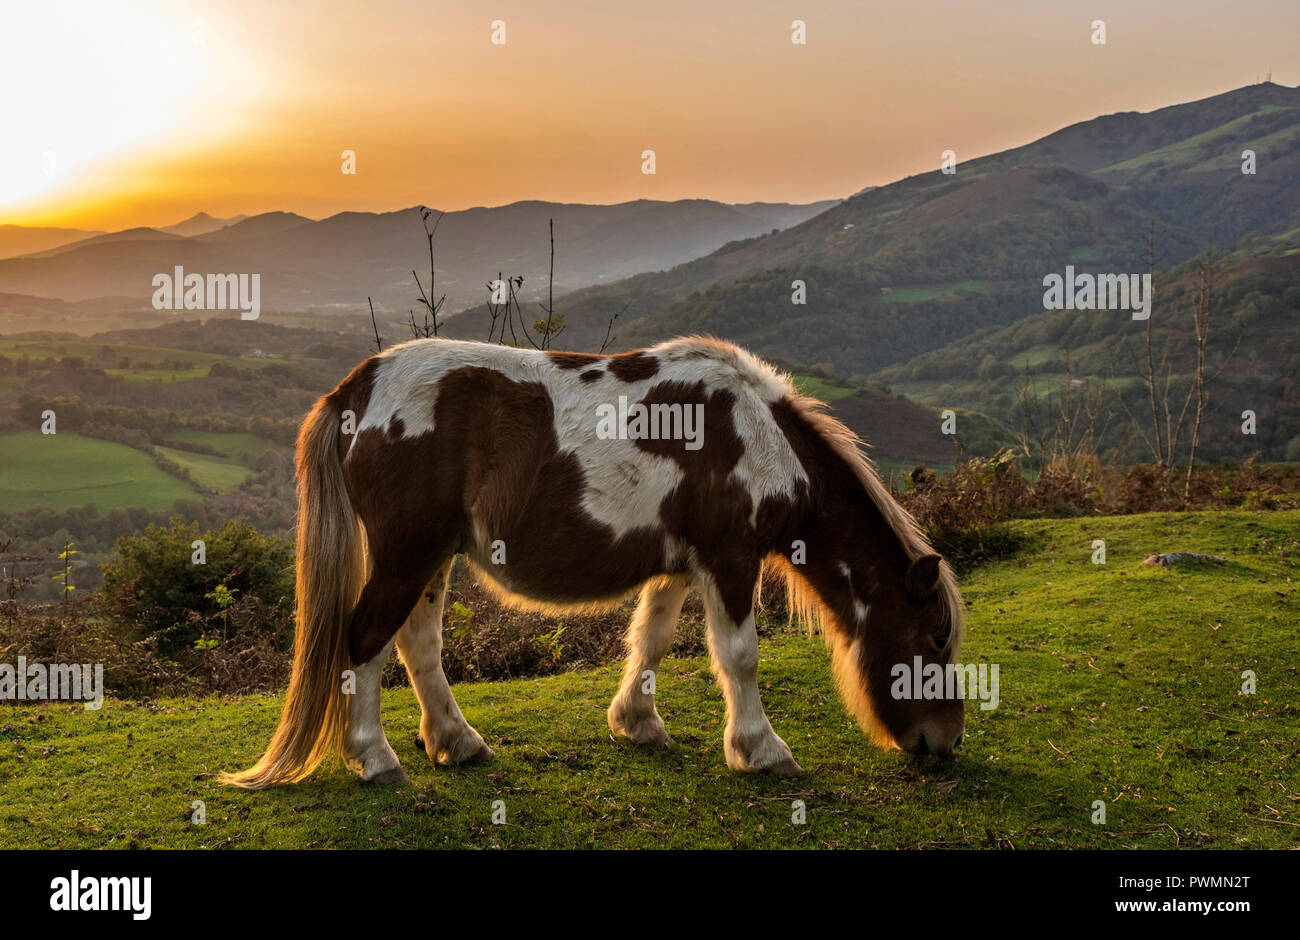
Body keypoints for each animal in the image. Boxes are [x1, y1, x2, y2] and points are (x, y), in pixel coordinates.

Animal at [222, 335, 965, 788]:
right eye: (935, 639)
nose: (945, 742)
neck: (757, 434)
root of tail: (355, 389)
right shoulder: (729, 559)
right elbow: (738, 657)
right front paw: (760, 749)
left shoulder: (680, 564)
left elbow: (653, 639)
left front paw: (636, 722)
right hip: (409, 551)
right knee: (368, 641)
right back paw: (375, 759)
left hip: (432, 556)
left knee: (418, 644)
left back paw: (456, 741)